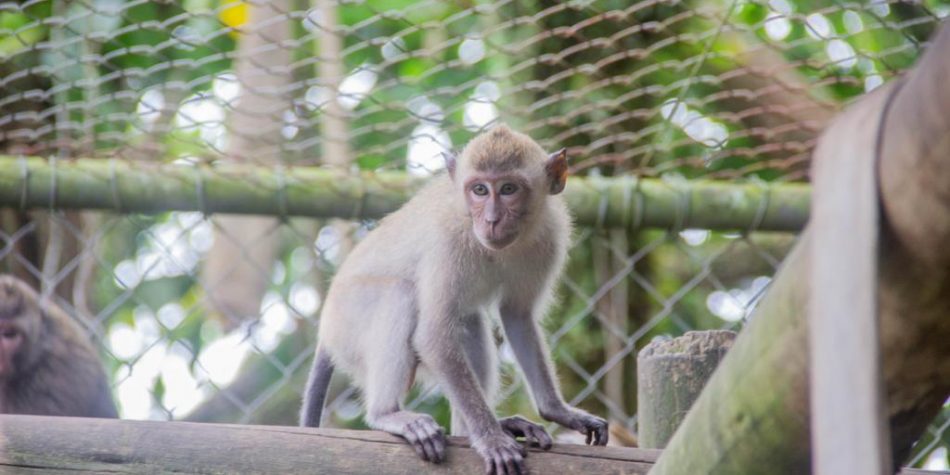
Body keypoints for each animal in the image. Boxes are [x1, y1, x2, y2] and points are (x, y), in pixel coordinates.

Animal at [301, 126, 608, 475]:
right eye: (479, 190)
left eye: (508, 189)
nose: (491, 220)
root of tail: (325, 329)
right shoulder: (448, 243)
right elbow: (433, 335)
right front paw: (491, 439)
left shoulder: (548, 238)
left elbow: (517, 315)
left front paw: (558, 410)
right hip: (348, 324)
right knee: (400, 295)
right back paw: (389, 414)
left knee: (468, 321)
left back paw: (474, 429)